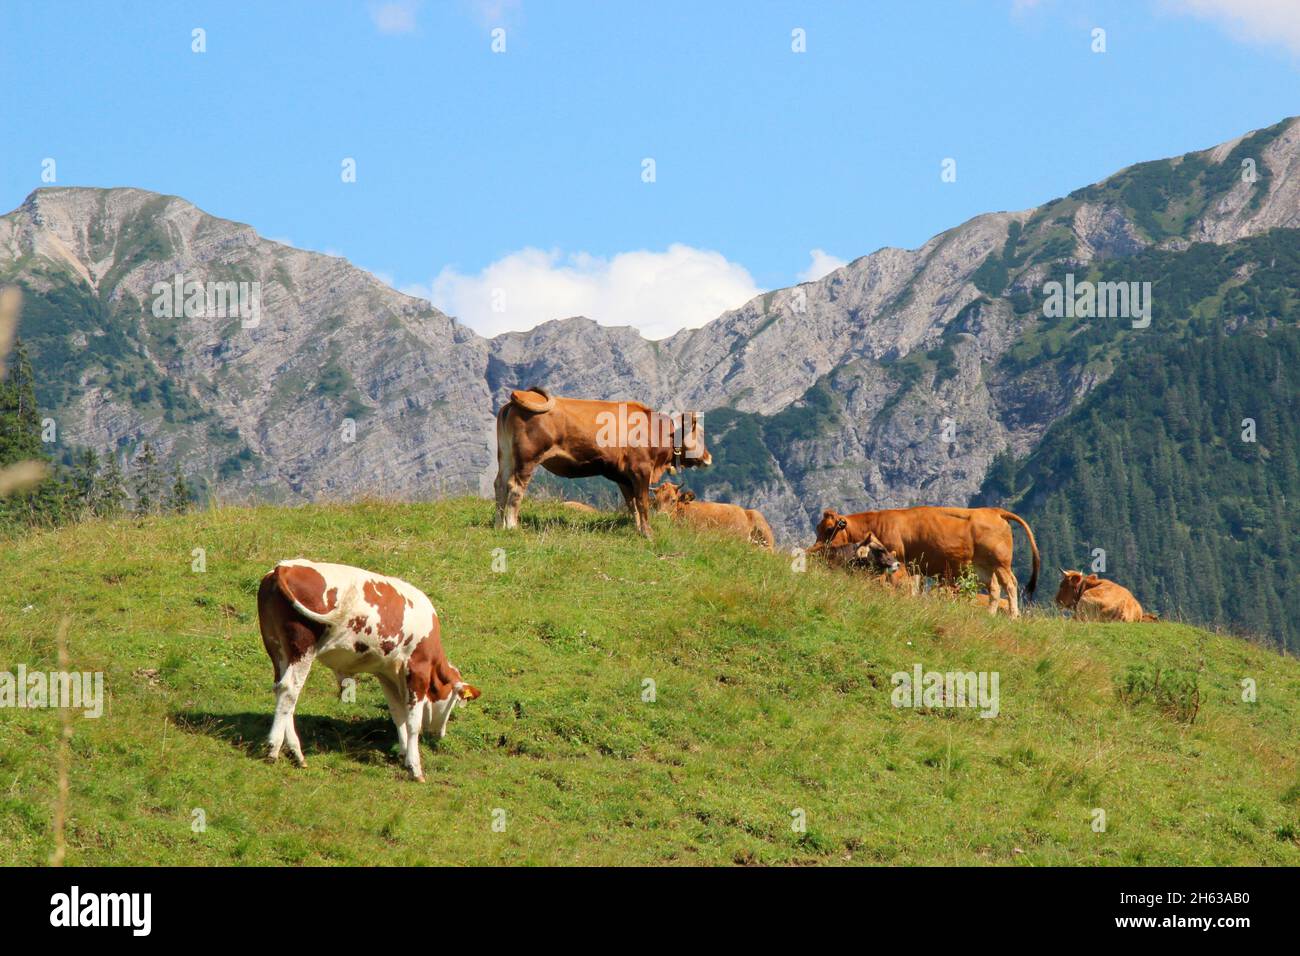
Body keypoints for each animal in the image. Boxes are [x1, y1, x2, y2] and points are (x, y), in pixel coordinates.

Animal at [257, 559, 481, 781]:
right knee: (290, 689)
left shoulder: (386, 673)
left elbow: (398, 714)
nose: (440, 734)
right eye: (455, 701)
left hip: (277, 648)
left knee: (281, 689)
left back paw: (295, 752)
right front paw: (415, 767)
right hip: (303, 646)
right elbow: (412, 722)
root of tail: (287, 566)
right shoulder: (418, 668)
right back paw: (275, 749)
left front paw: (404, 755)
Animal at [494, 387, 711, 537]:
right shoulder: (641, 470)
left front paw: (638, 529)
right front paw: (648, 533)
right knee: (515, 487)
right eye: (699, 435)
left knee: (500, 484)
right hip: (527, 459)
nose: (708, 457)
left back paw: (499, 522)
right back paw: (512, 526)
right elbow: (642, 502)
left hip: (505, 455)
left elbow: (632, 504)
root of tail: (515, 401)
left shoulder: (624, 477)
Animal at [813, 505, 1041, 617]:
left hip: (1001, 563)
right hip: (982, 565)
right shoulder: (915, 567)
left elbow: (900, 586)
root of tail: (995, 511)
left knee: (1010, 584)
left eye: (828, 529)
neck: (877, 523)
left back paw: (1013, 616)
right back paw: (990, 615)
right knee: (994, 588)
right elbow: (914, 589)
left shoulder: (899, 562)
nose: (816, 549)